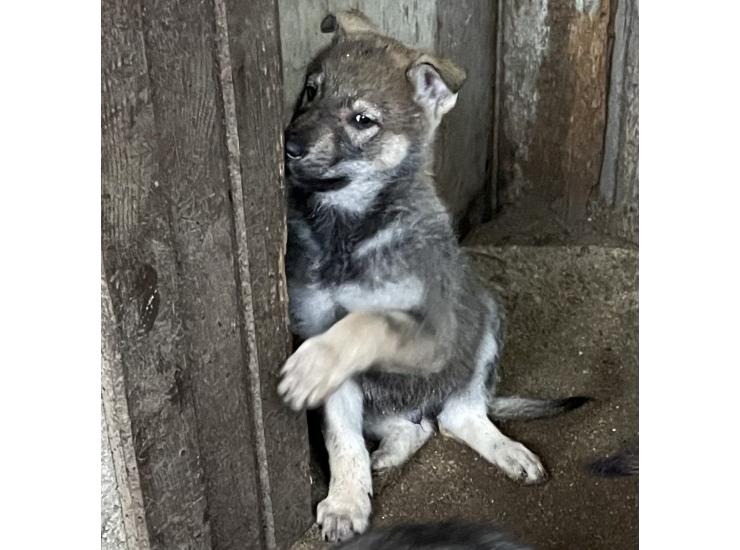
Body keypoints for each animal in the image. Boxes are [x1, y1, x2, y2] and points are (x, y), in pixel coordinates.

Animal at [278, 10, 588, 544]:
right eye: (311, 91)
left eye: (362, 120)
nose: (290, 146)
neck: (351, 229)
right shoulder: (325, 339)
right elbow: (342, 437)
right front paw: (345, 501)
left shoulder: (431, 332)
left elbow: (369, 321)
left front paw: (311, 366)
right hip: (392, 403)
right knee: (420, 428)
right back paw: (387, 455)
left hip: (482, 327)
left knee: (458, 418)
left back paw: (507, 450)